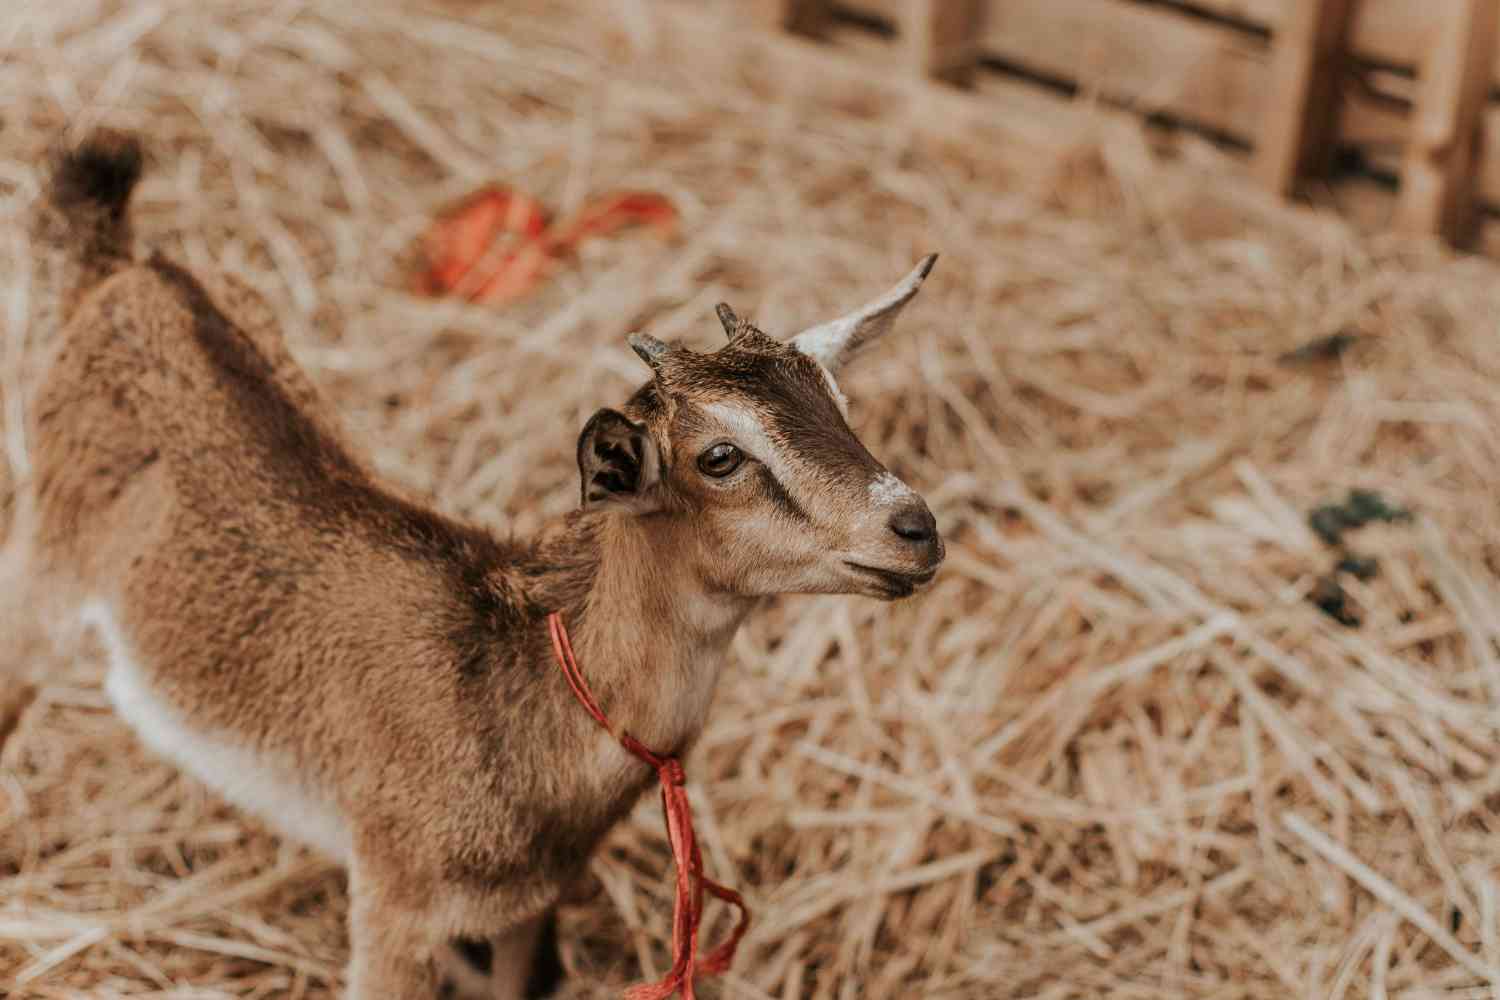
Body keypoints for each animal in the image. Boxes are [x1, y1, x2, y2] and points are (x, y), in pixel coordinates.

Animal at [0, 132, 944, 999]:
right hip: (47, 563)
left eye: (840, 402)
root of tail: (126, 271)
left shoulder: (526, 907)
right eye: (720, 456)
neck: (515, 694)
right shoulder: (393, 900)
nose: (915, 528)